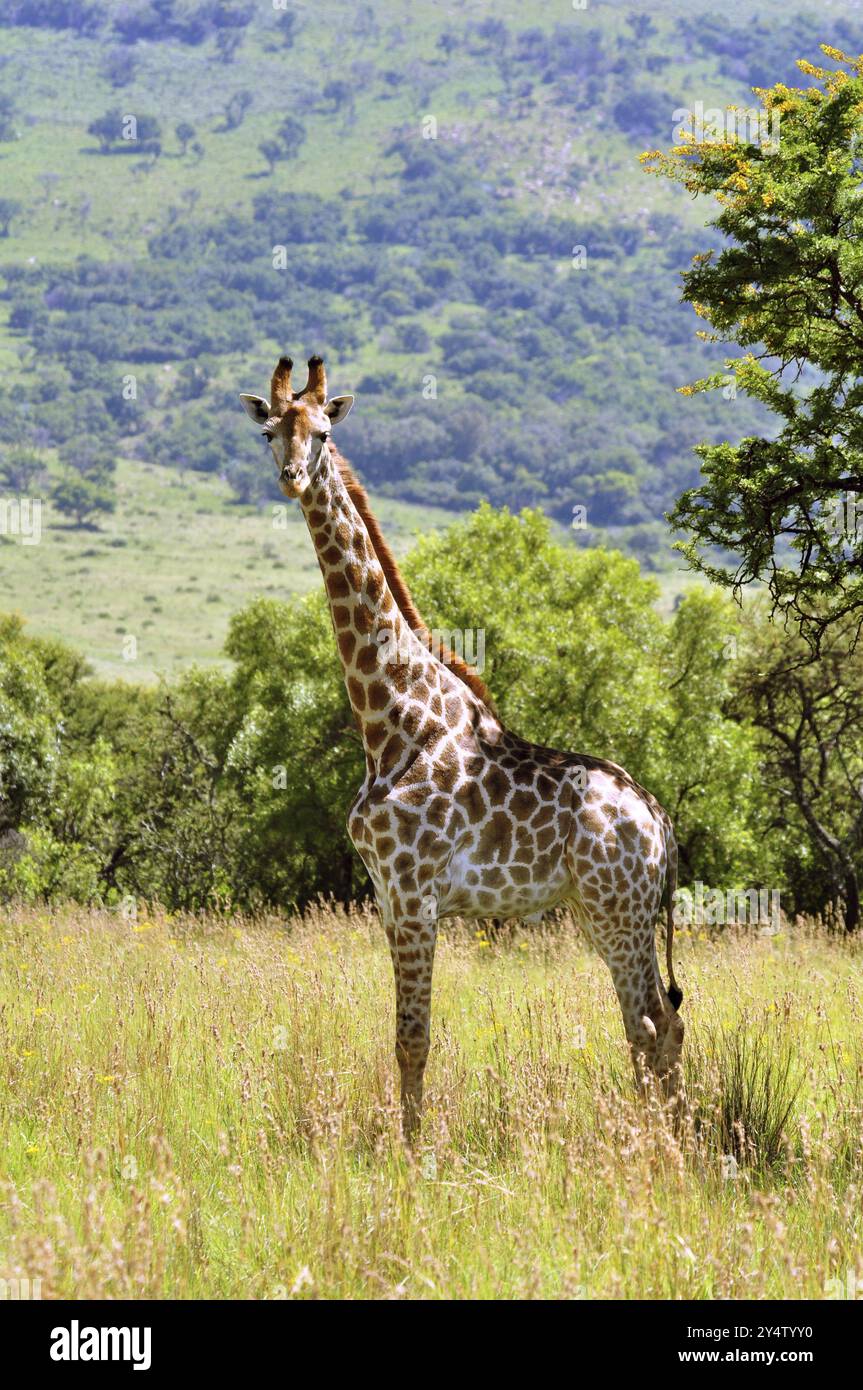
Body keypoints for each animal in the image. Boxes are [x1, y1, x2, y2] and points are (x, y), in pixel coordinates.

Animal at [240, 355, 684, 1139]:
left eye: (324, 432)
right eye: (271, 431)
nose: (292, 477)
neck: (391, 722)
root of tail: (659, 820)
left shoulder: (416, 893)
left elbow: (413, 1038)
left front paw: (413, 1154)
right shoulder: (387, 896)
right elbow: (402, 1037)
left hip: (618, 909)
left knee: (650, 1026)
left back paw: (655, 1145)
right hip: (603, 912)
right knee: (661, 1022)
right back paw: (670, 1138)